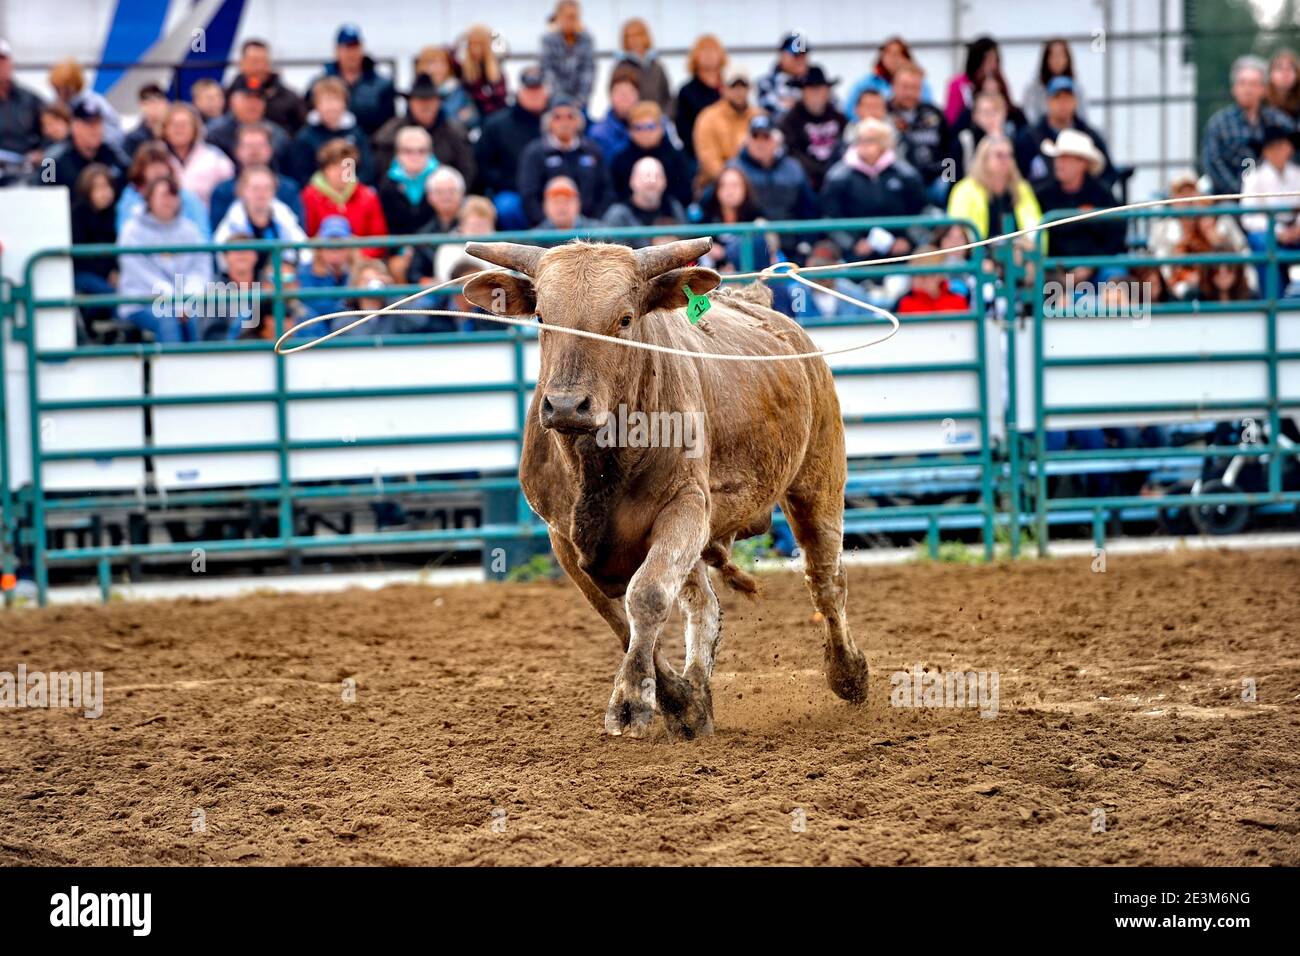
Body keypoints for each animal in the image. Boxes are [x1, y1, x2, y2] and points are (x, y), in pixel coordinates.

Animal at [462, 236, 868, 739]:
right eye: (541, 317)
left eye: (624, 319)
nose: (567, 406)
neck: (600, 462)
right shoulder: (562, 535)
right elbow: (618, 618)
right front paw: (682, 702)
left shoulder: (686, 505)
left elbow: (648, 595)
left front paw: (632, 701)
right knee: (704, 606)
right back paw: (697, 685)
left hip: (817, 482)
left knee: (826, 581)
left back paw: (848, 673)